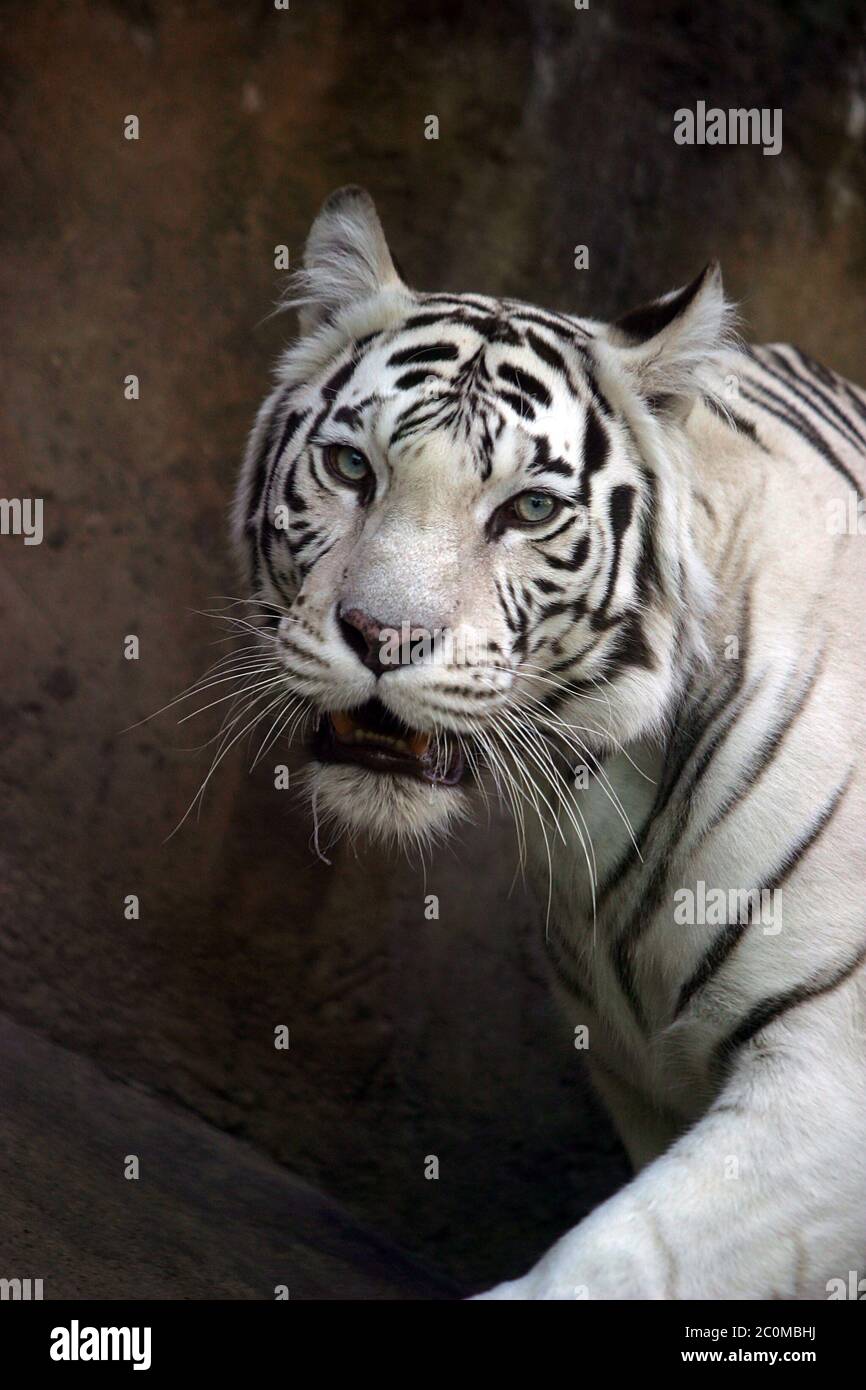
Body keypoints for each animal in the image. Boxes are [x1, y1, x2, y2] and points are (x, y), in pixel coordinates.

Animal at [232, 185, 866, 1299]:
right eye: (351, 467)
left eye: (527, 509)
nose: (384, 636)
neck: (608, 785)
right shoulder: (639, 1075)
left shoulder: (831, 1071)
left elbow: (621, 1258)